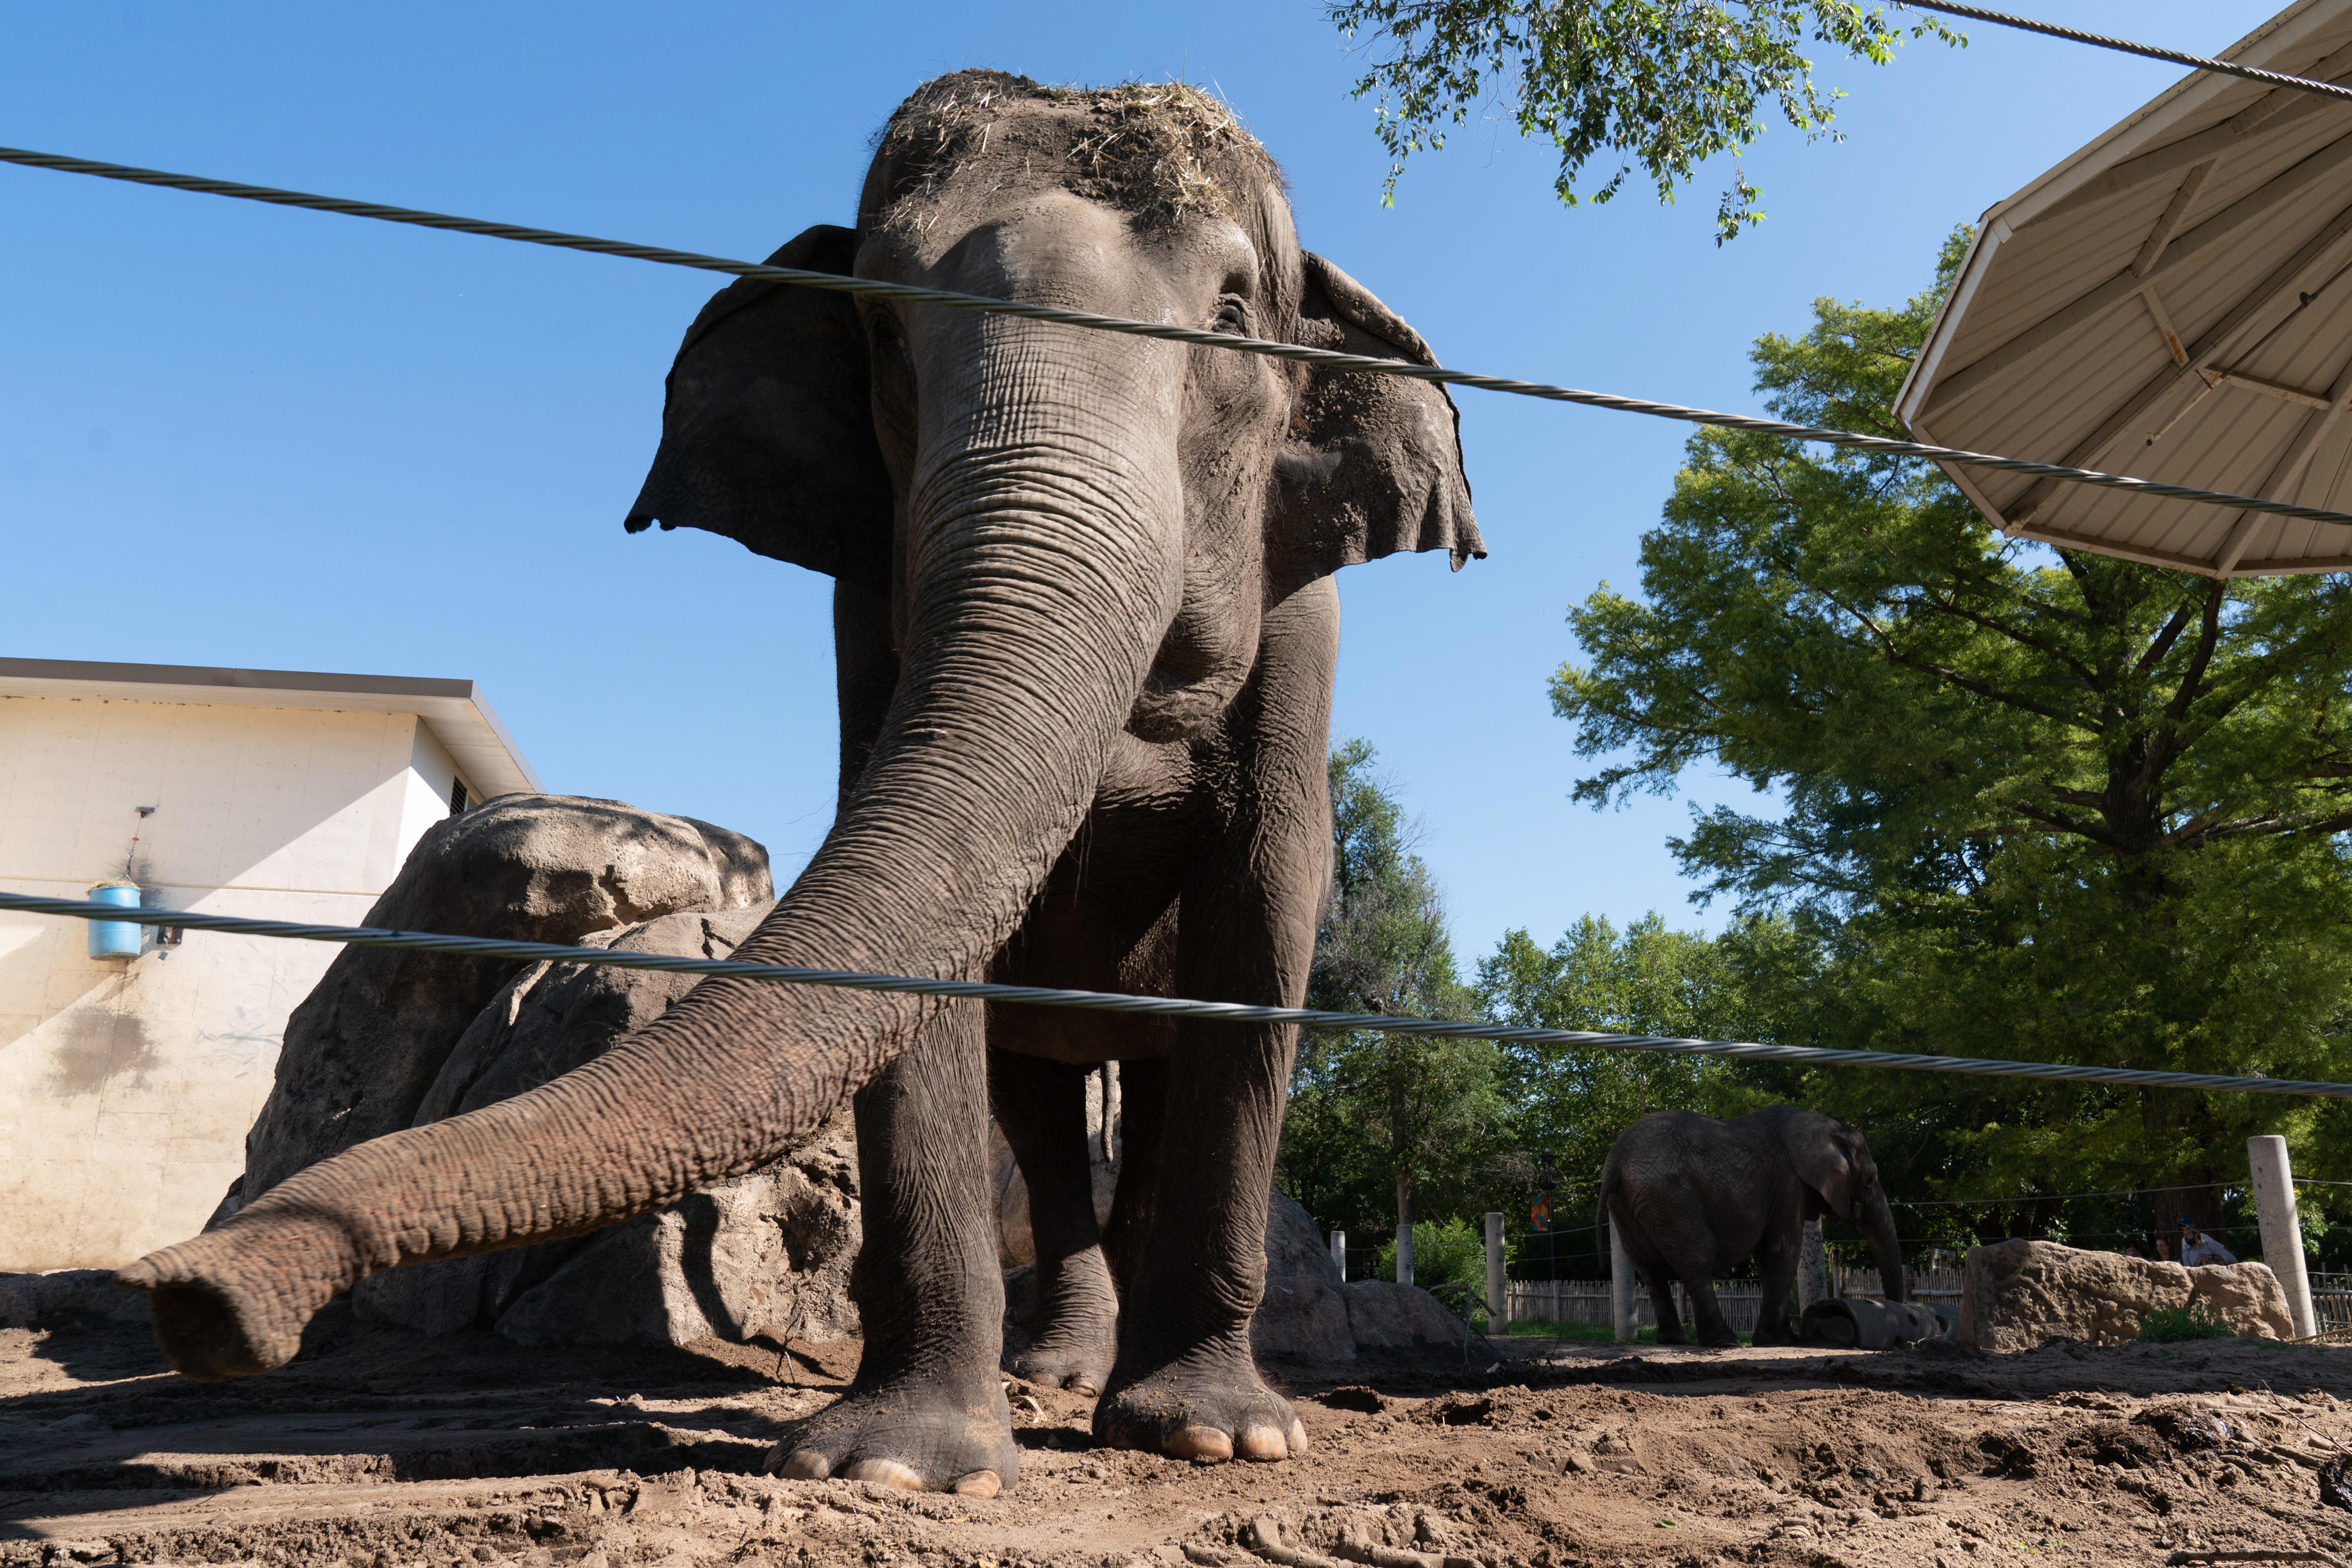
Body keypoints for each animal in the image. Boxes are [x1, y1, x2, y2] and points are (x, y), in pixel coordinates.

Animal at [113, 71, 1482, 1498]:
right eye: (881, 322)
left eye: (1230, 315)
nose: (191, 1298)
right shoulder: (863, 603)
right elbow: (917, 958)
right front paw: (896, 1467)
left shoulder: (1307, 634)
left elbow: (1265, 908)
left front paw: (1222, 1434)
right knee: (1042, 1109)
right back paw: (1053, 1373)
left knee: (1147, 1085)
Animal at [1600, 1106, 1905, 1347]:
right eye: (1870, 1179)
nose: (1897, 1330)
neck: (1823, 1125)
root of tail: (1615, 1160)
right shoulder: (1789, 1181)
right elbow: (1782, 1249)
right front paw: (1779, 1341)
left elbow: (1767, 1256)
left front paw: (1785, 1339)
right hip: (1670, 1197)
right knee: (1695, 1261)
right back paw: (1725, 1342)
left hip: (1629, 1204)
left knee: (1648, 1268)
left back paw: (1675, 1341)